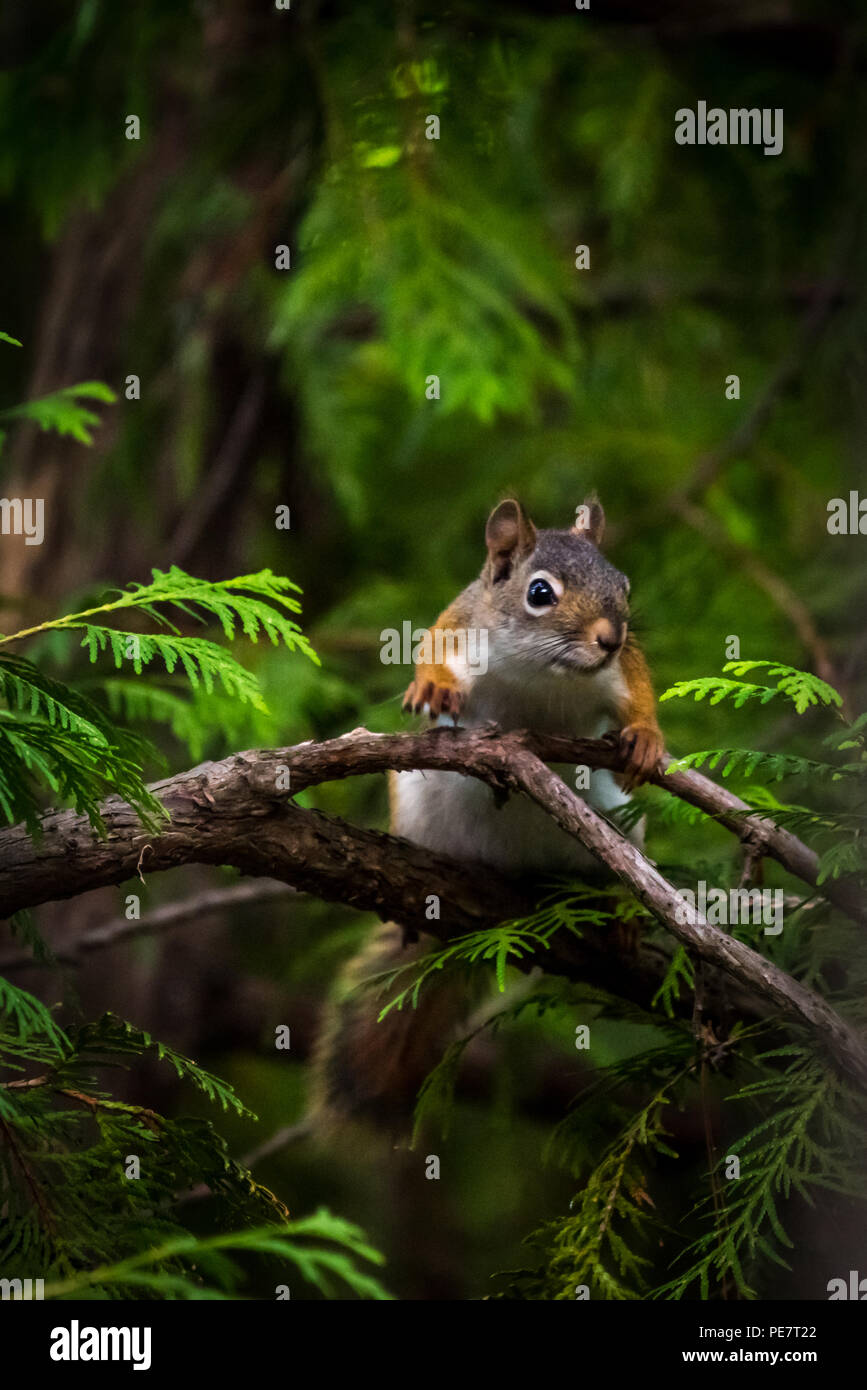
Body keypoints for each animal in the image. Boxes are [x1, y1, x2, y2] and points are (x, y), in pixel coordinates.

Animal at [312, 497, 664, 1127]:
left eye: (624, 585)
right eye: (540, 593)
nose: (610, 637)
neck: (540, 671)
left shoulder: (622, 670)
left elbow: (640, 692)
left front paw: (646, 739)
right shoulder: (460, 627)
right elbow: (430, 649)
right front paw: (432, 687)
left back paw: (620, 913)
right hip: (419, 807)